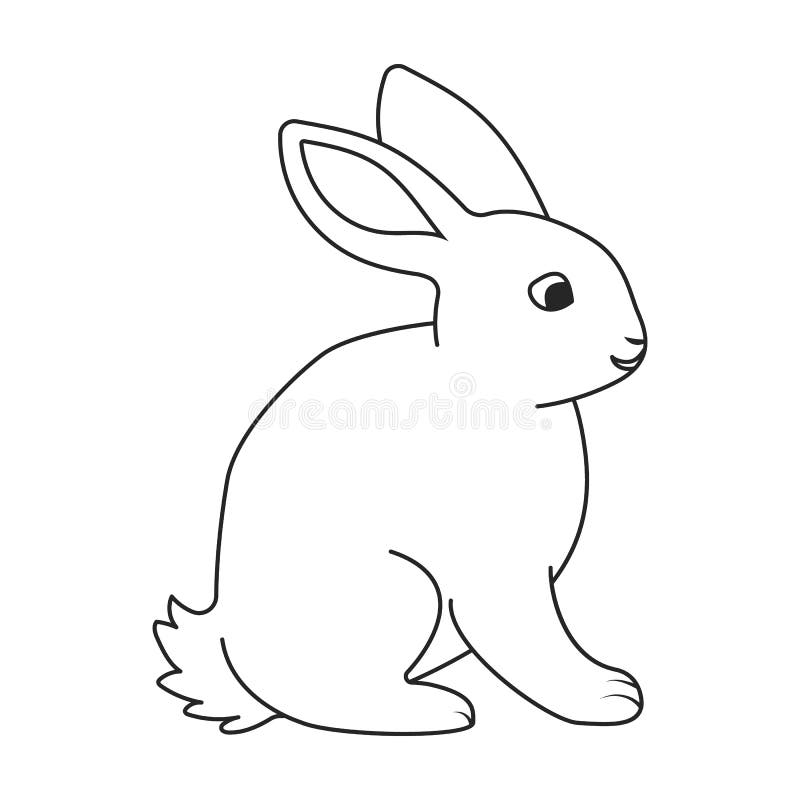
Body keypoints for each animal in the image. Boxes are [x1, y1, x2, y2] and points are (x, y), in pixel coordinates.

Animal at [154, 65, 648, 735]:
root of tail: (230, 655)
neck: (488, 382)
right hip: (400, 590)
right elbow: (527, 641)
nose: (635, 346)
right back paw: (437, 710)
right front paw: (608, 697)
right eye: (553, 294)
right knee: (326, 695)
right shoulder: (498, 572)